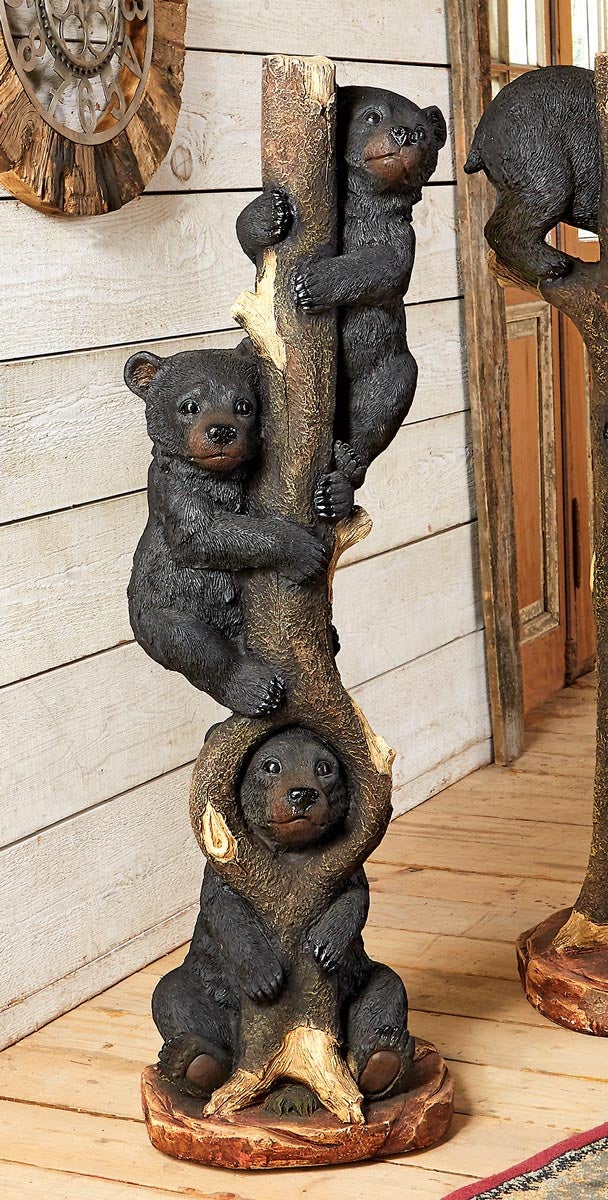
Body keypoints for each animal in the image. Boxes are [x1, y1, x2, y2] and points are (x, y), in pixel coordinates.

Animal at [125, 347, 327, 717]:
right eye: (190, 405)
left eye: (244, 405)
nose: (221, 431)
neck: (217, 478)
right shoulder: (175, 490)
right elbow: (204, 535)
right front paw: (303, 552)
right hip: (161, 610)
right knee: (193, 645)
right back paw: (257, 691)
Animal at [151, 727, 414, 1115]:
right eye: (271, 765)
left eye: (324, 767)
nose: (302, 793)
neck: (292, 854)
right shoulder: (225, 871)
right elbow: (224, 912)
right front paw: (264, 976)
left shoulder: (342, 870)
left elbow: (357, 899)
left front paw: (326, 944)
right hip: (206, 987)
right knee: (173, 995)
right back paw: (193, 1061)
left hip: (362, 981)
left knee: (386, 990)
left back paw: (384, 1059)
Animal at [236, 85, 447, 519]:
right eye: (372, 116)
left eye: (422, 130)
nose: (406, 134)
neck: (360, 208)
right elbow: (250, 241)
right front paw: (269, 211)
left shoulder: (399, 237)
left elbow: (385, 268)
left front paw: (312, 282)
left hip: (386, 363)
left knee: (384, 403)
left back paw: (341, 480)